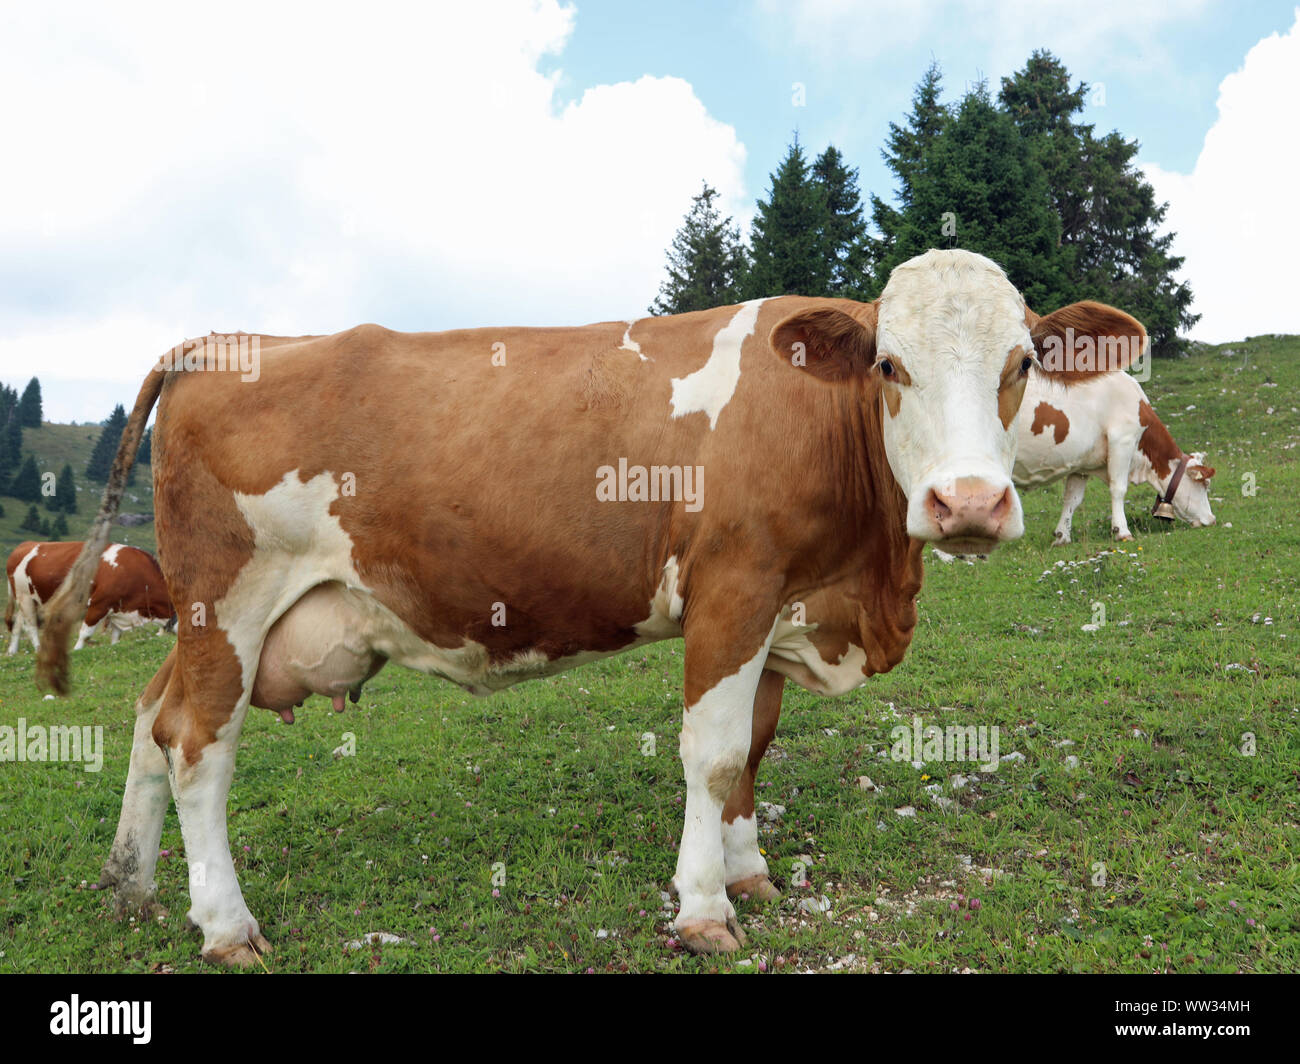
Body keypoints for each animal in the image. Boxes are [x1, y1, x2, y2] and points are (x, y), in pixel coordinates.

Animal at [5, 540, 174, 655]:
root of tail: (26, 544)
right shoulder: (99, 604)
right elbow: (85, 633)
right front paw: (76, 650)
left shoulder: (120, 609)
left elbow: (116, 635)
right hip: (25, 597)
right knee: (31, 626)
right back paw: (38, 649)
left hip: (29, 600)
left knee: (18, 623)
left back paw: (12, 651)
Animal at [36, 249, 1146, 966]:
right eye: (889, 365)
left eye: (1020, 363)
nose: (969, 504)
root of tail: (219, 344)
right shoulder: (734, 587)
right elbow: (712, 752)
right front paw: (702, 909)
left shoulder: (780, 605)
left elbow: (753, 745)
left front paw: (748, 871)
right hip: (228, 602)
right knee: (198, 748)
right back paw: (225, 925)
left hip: (201, 620)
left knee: (151, 717)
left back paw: (132, 883)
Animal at [1013, 368, 1216, 543]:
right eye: (1204, 484)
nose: (1212, 519)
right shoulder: (1122, 441)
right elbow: (1119, 489)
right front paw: (1122, 531)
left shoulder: (1081, 464)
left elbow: (1072, 498)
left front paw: (1062, 536)